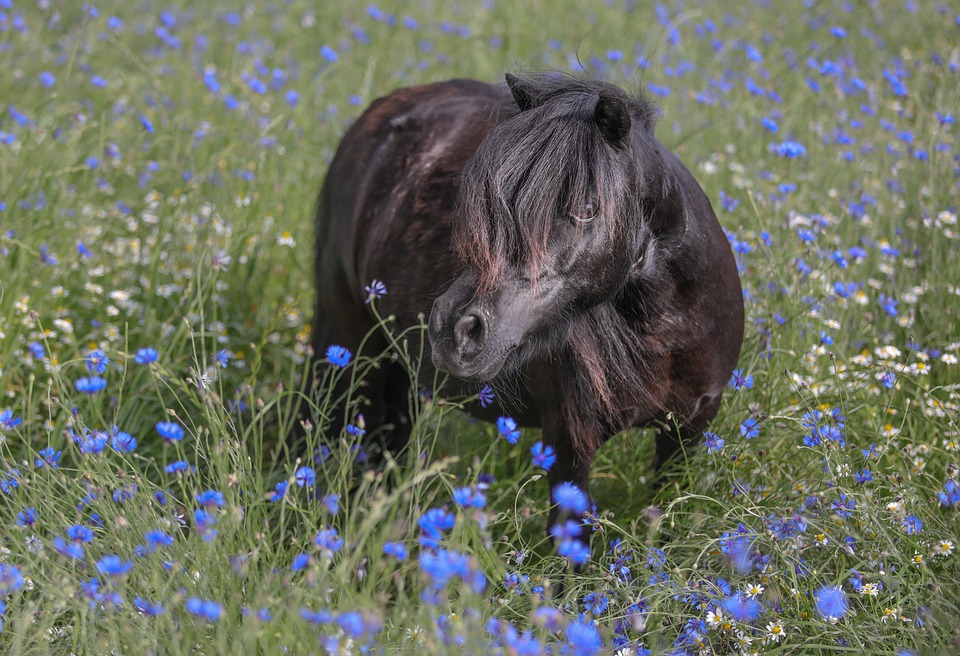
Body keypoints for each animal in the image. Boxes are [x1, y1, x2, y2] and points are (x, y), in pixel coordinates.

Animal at [303, 71, 744, 517]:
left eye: (586, 209)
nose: (452, 331)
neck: (669, 335)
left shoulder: (690, 432)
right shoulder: (568, 445)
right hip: (354, 348)